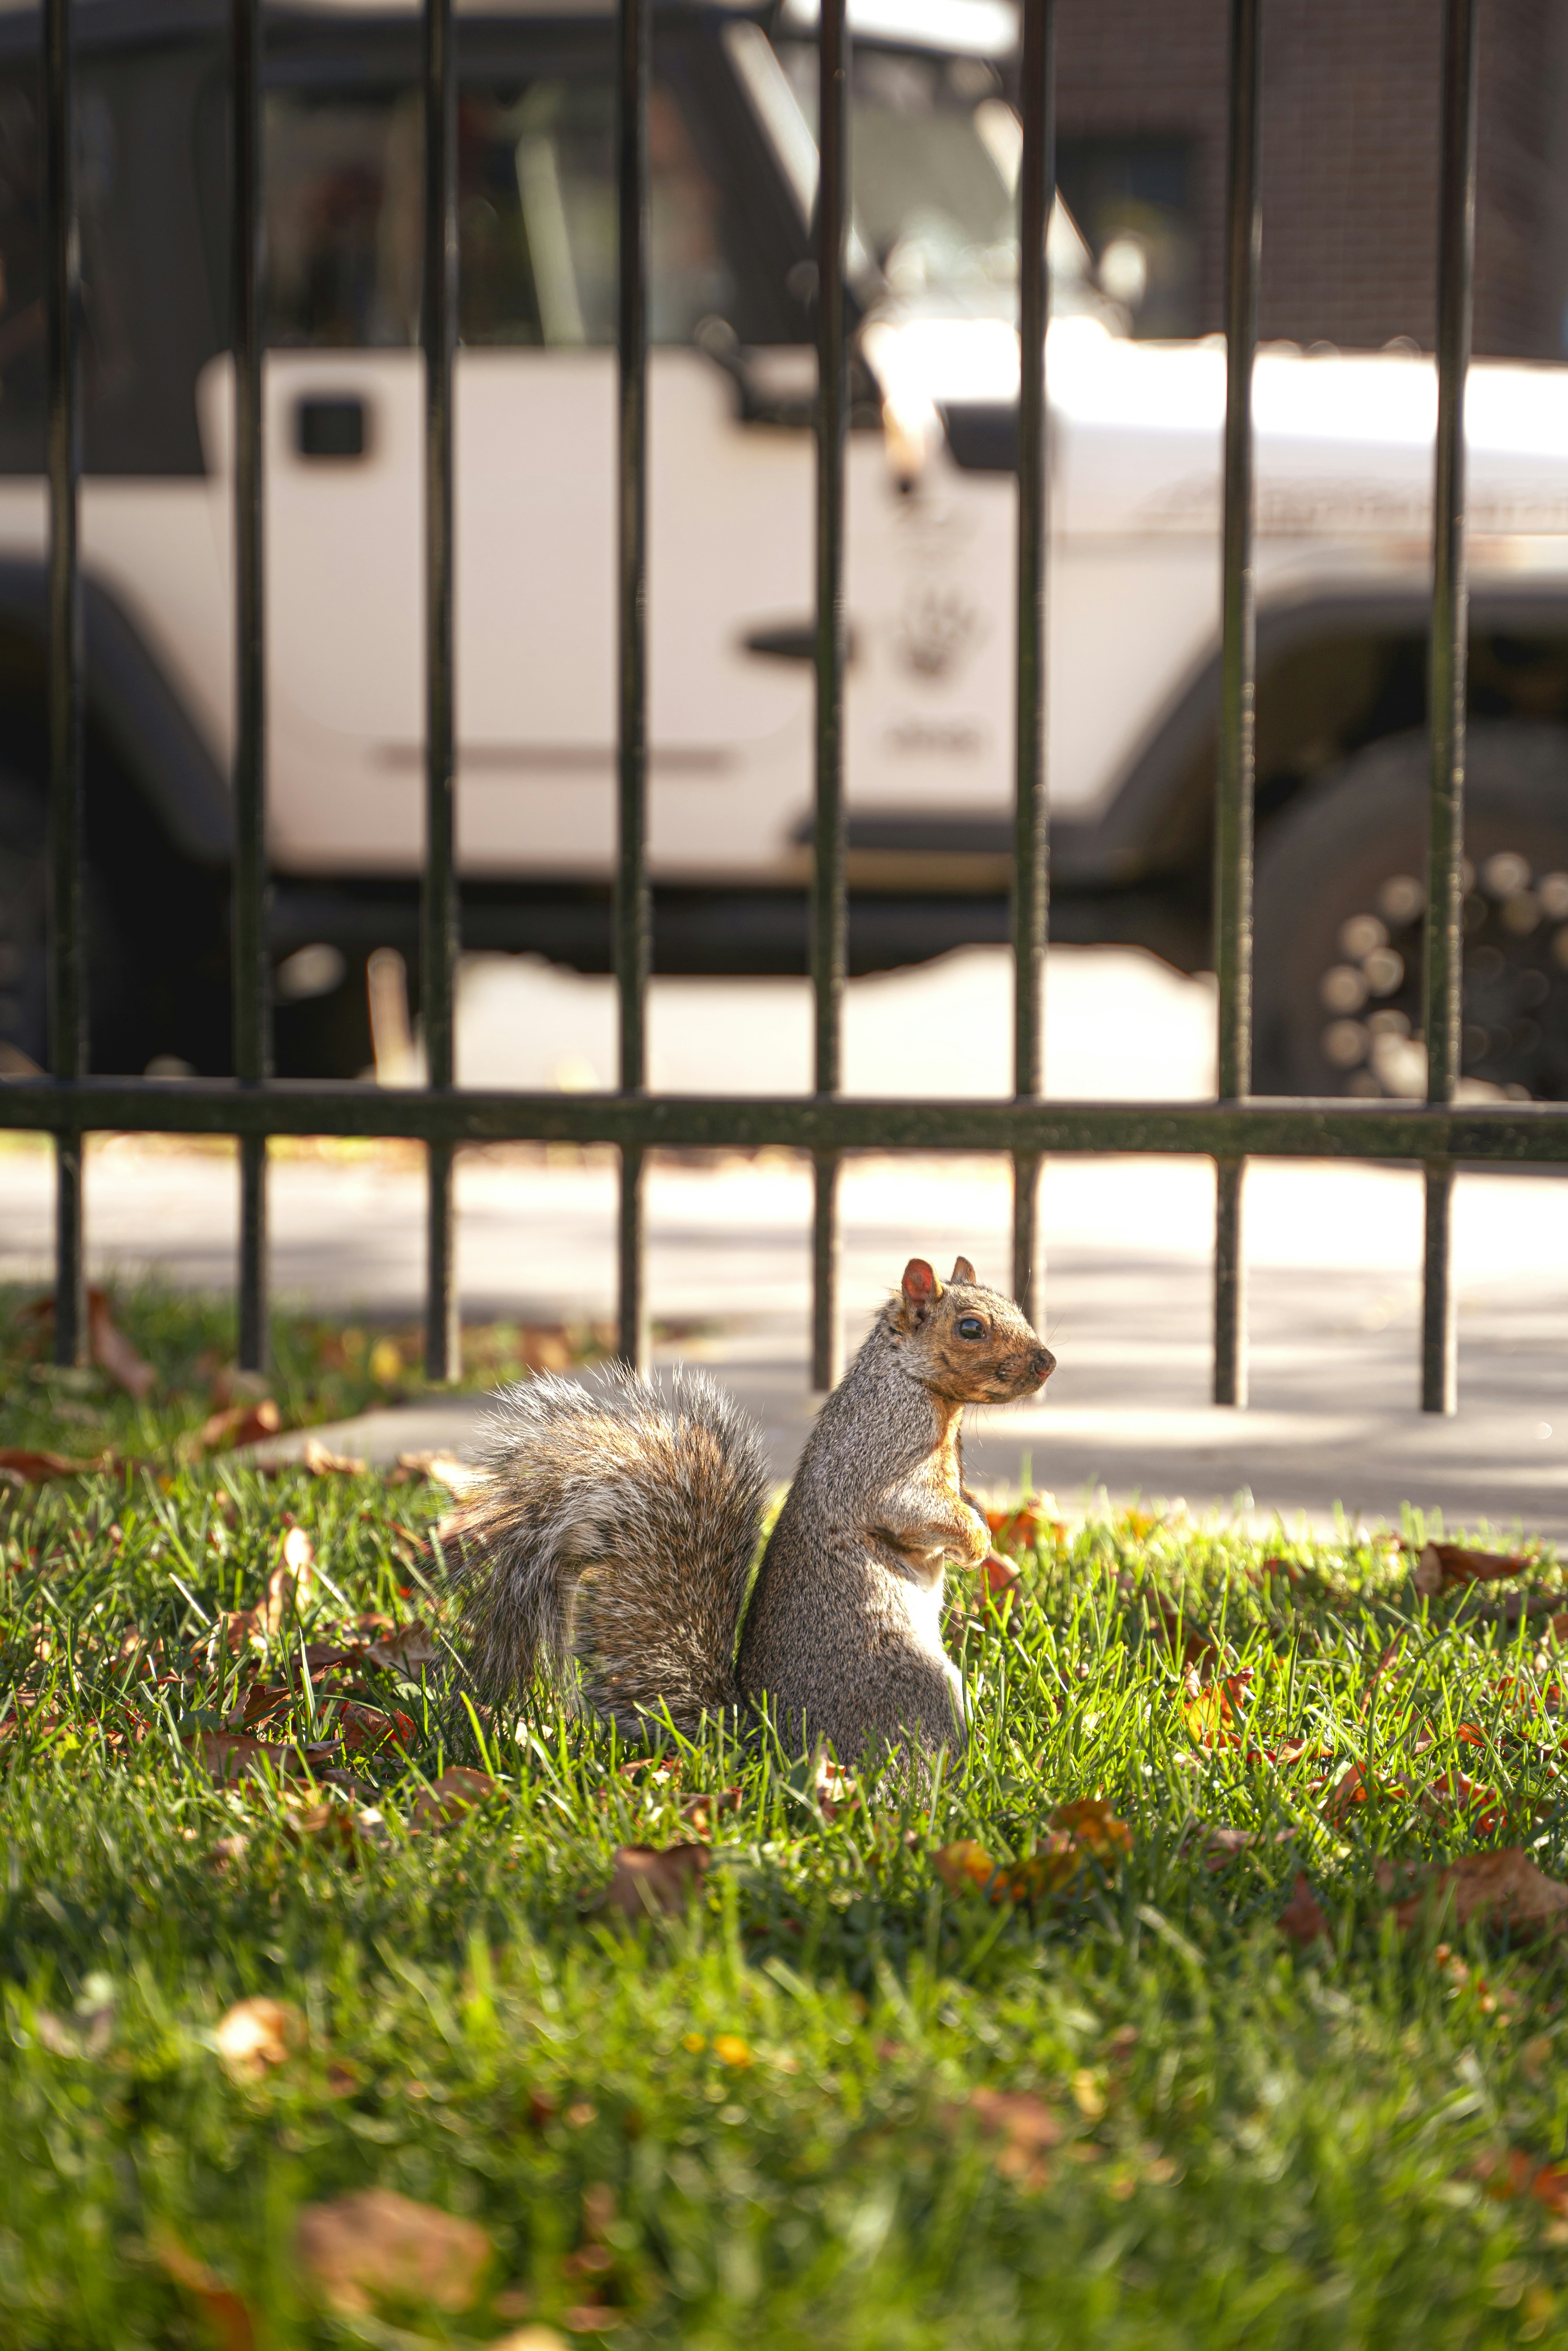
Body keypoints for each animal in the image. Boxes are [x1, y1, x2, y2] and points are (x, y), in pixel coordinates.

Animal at [448, 1256, 1055, 1767]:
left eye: (1017, 1306)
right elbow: (912, 1508)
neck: (916, 1387)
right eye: (971, 1328)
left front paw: (980, 1528)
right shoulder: (882, 1459)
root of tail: (769, 1745)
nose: (1047, 1362)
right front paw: (976, 1542)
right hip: (916, 1686)